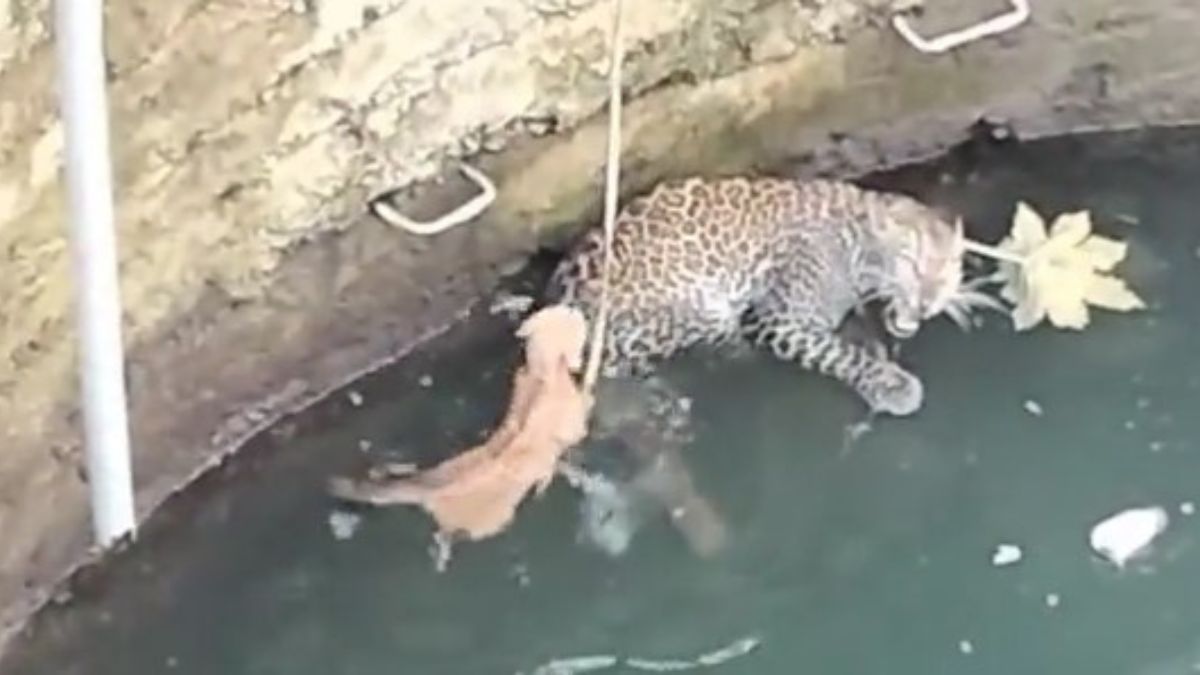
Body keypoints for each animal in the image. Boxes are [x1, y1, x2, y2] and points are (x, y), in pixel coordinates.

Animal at [543, 175, 985, 418]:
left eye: (951, 270)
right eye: (911, 263)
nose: (928, 302)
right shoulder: (777, 319)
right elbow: (837, 352)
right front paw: (893, 385)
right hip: (697, 314)